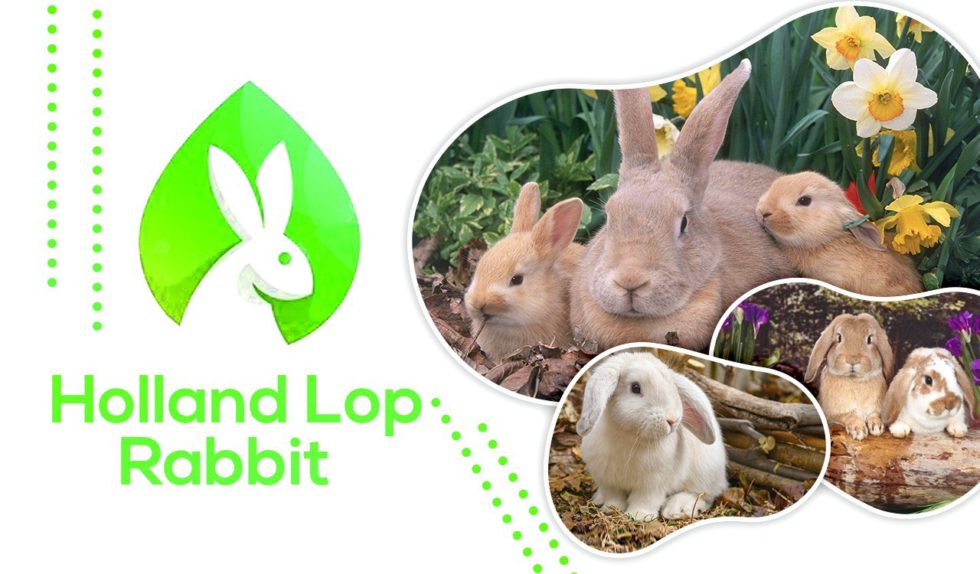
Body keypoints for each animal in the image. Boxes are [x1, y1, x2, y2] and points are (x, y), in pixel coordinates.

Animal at [576, 351, 727, 521]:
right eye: (635, 387)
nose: (673, 420)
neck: (630, 437)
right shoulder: (608, 480)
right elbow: (613, 497)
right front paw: (611, 509)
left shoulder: (653, 484)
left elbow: (645, 500)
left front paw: (638, 516)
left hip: (704, 475)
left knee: (703, 497)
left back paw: (677, 509)